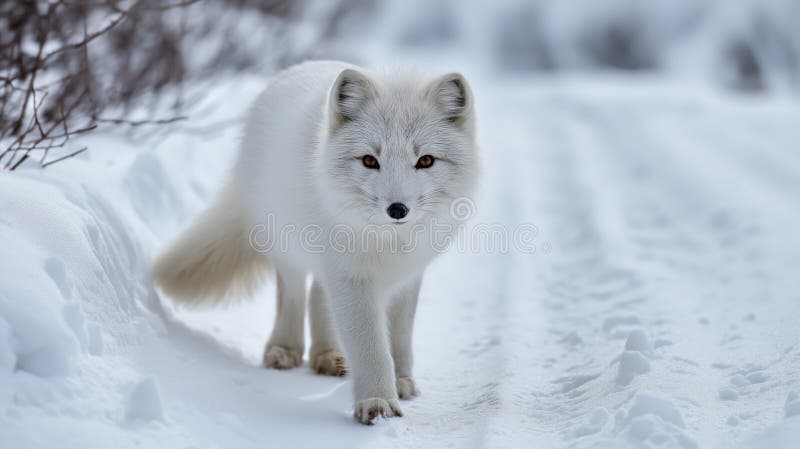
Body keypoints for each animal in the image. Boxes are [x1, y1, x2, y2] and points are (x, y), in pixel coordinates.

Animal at [152, 60, 478, 424]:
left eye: (425, 161)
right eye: (370, 161)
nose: (397, 209)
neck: (388, 242)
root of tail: (297, 68)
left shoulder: (406, 277)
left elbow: (399, 337)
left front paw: (401, 381)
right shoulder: (353, 277)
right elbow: (370, 346)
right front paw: (378, 402)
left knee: (318, 296)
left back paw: (328, 356)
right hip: (288, 249)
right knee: (293, 295)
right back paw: (284, 350)